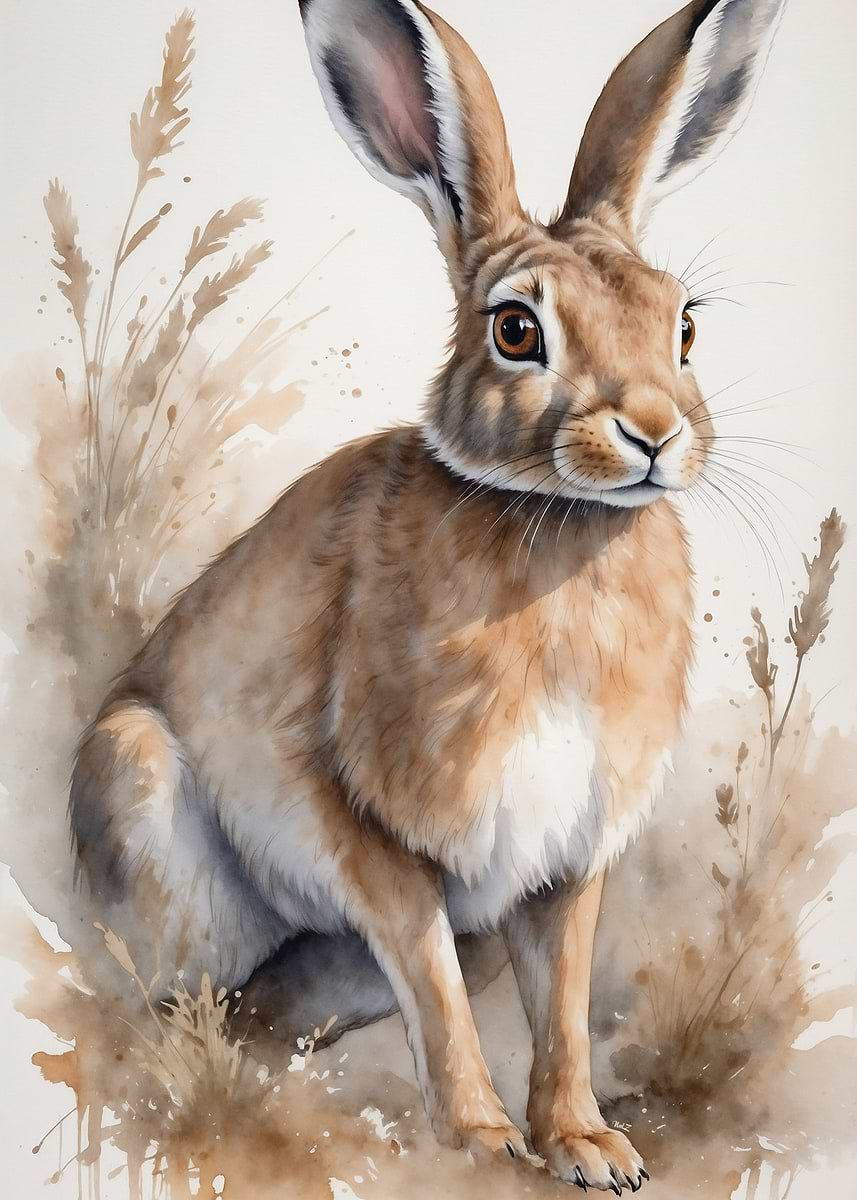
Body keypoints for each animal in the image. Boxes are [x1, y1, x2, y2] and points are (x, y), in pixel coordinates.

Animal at [69, 0, 789, 1190]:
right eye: (515, 329)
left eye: (682, 326)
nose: (652, 430)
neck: (555, 525)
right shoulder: (369, 827)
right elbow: (434, 986)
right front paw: (486, 1140)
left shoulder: (565, 861)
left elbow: (562, 1003)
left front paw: (590, 1148)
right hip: (141, 803)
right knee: (156, 1004)